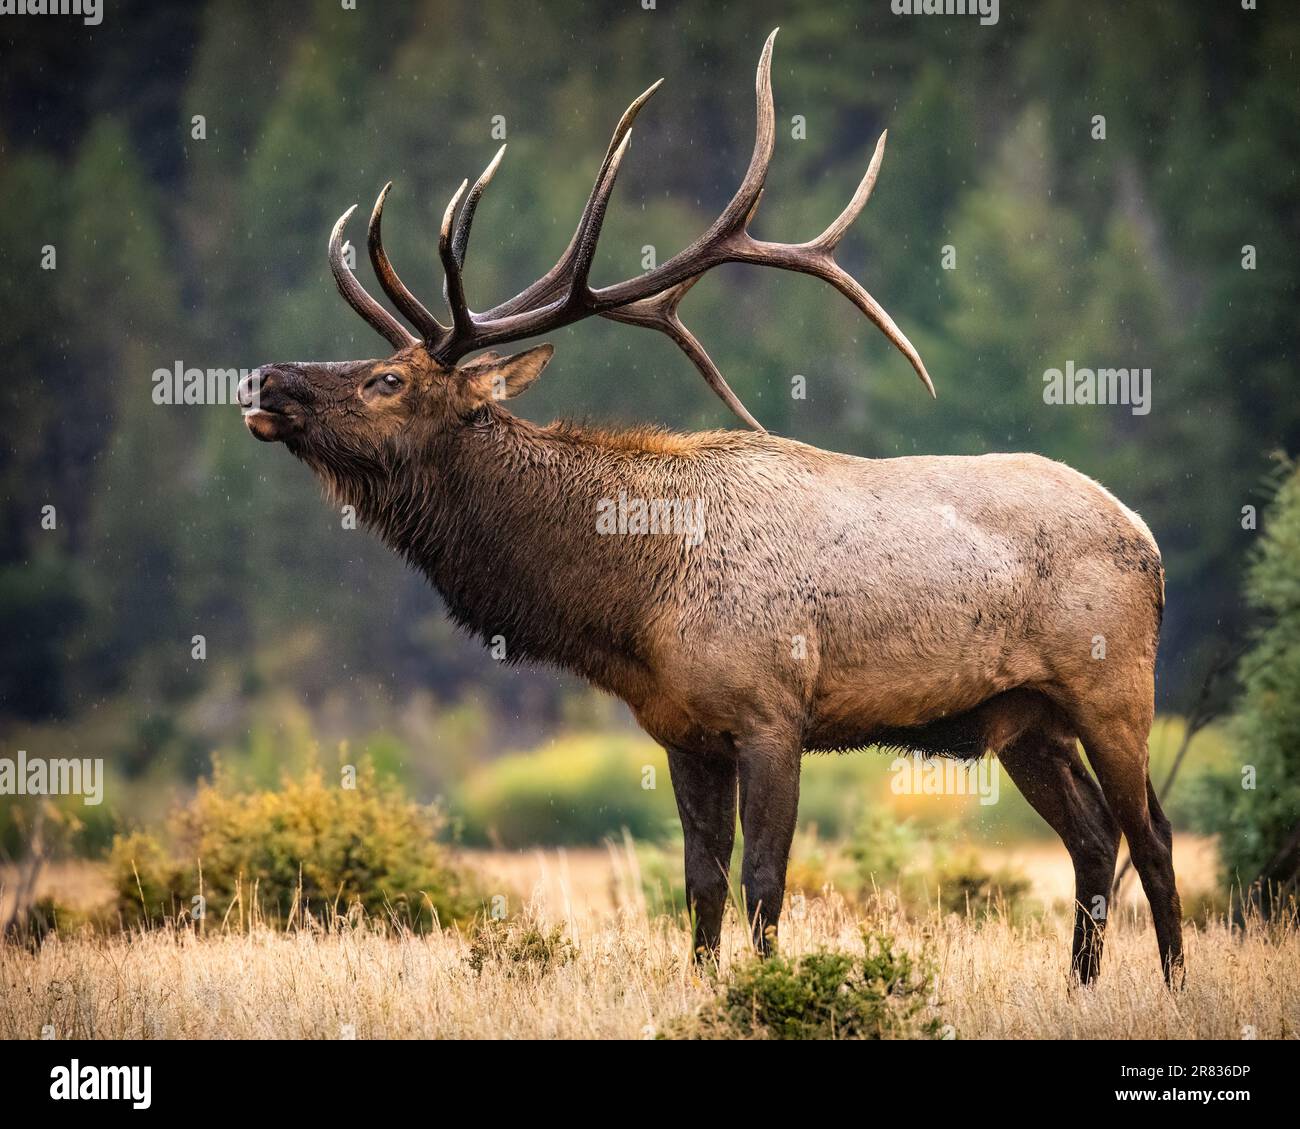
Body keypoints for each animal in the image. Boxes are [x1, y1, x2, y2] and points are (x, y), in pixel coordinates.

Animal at [238, 30, 1182, 986]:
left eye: (386, 379)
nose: (268, 378)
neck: (633, 604)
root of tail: (1148, 539)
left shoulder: (773, 713)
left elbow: (764, 881)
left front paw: (770, 986)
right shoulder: (682, 731)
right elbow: (700, 885)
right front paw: (705, 984)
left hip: (1111, 685)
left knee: (1152, 832)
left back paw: (1172, 982)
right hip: (1026, 718)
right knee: (1093, 837)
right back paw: (1079, 984)